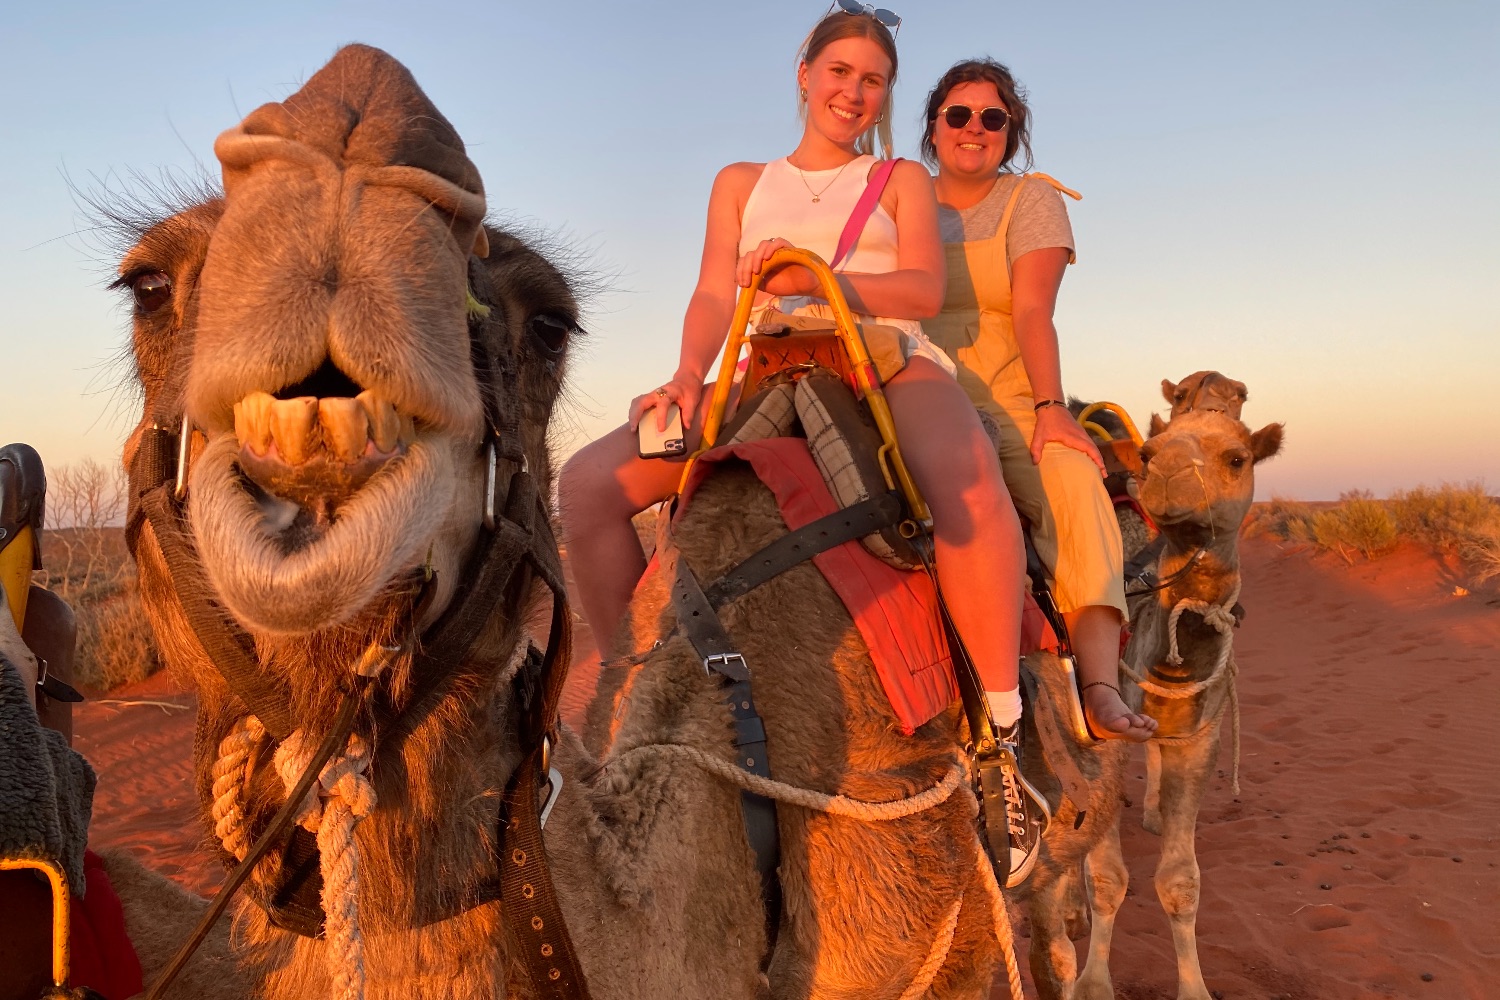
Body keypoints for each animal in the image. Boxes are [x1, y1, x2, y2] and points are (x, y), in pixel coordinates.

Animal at [1073, 402, 1284, 1000]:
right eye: (1150, 453)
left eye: (1237, 458)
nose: (1166, 470)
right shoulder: (1103, 735)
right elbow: (1107, 876)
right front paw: (1091, 982)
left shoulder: (1200, 736)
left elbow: (1180, 881)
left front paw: (1194, 987)